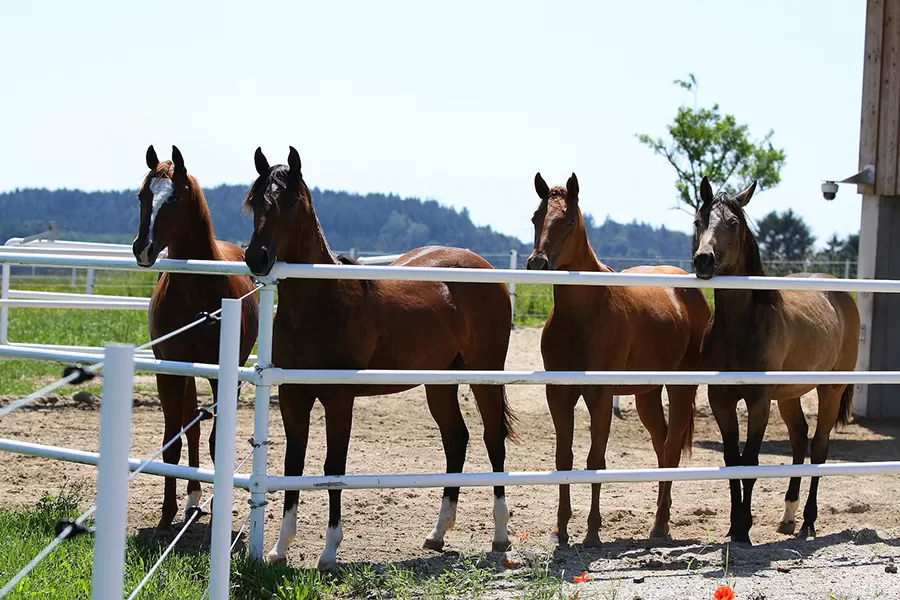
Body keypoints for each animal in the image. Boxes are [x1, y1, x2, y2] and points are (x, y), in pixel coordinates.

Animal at [134, 145, 260, 528]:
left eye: (174, 197)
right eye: (142, 195)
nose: (142, 248)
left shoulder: (222, 375)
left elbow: (218, 441)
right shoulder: (170, 369)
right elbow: (173, 441)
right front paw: (166, 516)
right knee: (190, 427)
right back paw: (191, 499)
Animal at [243, 148, 516, 568]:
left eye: (289, 201)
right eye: (256, 200)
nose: (255, 257)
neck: (322, 303)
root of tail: (486, 270)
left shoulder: (339, 399)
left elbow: (333, 468)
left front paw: (328, 552)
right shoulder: (293, 397)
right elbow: (293, 465)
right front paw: (279, 550)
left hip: (485, 374)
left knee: (492, 439)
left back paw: (500, 535)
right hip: (440, 382)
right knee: (457, 439)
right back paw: (437, 534)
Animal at [528, 171, 712, 548]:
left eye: (569, 220)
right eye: (536, 217)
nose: (537, 262)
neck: (583, 315)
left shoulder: (599, 396)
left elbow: (595, 459)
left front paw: (592, 532)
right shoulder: (558, 395)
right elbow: (563, 458)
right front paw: (561, 530)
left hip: (681, 389)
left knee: (671, 447)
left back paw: (660, 524)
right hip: (647, 395)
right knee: (661, 445)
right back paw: (661, 521)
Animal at [692, 177, 860, 544]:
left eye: (733, 222)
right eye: (698, 221)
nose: (703, 261)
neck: (739, 326)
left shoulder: (758, 401)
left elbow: (751, 461)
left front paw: (743, 529)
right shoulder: (720, 399)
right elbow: (732, 460)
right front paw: (734, 526)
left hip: (830, 390)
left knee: (819, 447)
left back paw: (808, 521)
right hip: (789, 395)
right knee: (799, 440)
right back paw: (788, 516)